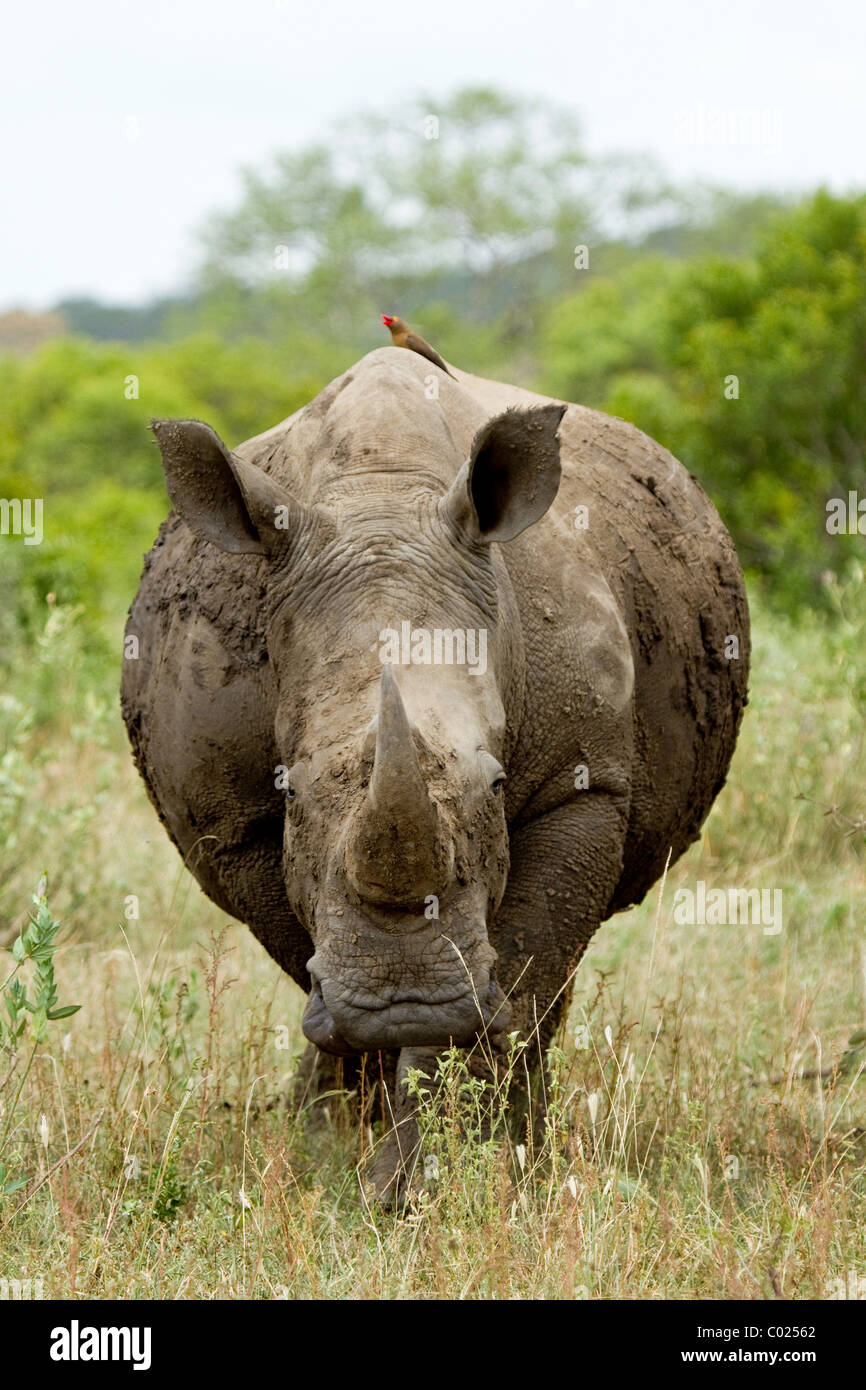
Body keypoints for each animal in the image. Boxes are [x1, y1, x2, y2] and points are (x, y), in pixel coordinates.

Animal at [122, 347, 749, 1193]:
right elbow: (309, 952)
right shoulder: (234, 820)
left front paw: (435, 1177)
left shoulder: (580, 787)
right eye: (291, 790)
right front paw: (348, 1146)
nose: (406, 1001)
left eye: (496, 783)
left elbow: (522, 963)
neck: (381, 496)